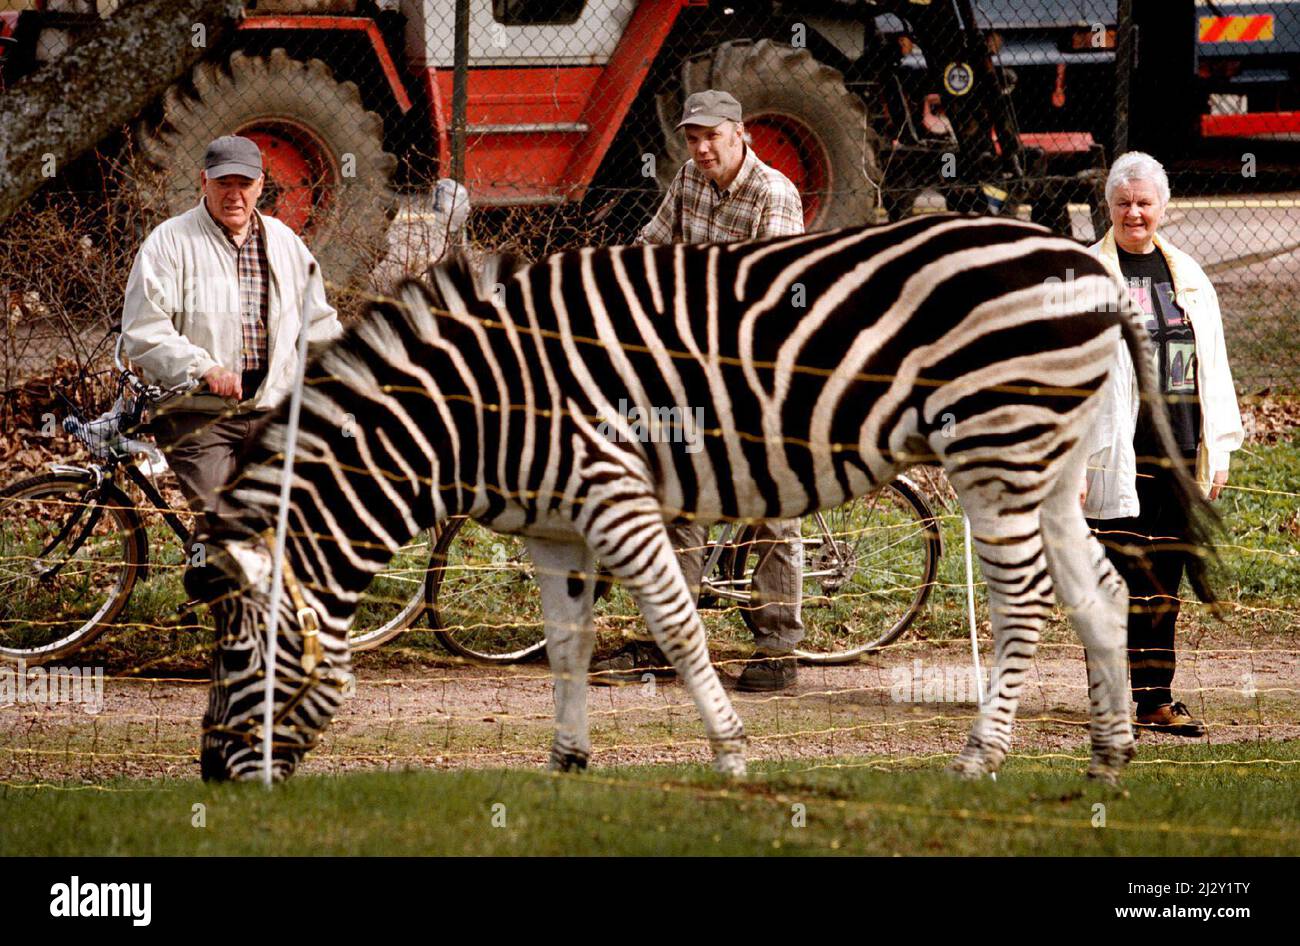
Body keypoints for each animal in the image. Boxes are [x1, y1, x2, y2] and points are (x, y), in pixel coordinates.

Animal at [187, 213, 1217, 784]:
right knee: (1102, 591)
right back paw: (1109, 757)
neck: (473, 406)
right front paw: (565, 767)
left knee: (1024, 601)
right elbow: (568, 644)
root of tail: (1094, 268)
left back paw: (980, 758)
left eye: (235, 659)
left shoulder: (615, 494)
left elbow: (678, 626)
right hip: (1052, 456)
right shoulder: (556, 532)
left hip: (994, 446)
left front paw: (730, 752)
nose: (212, 779)